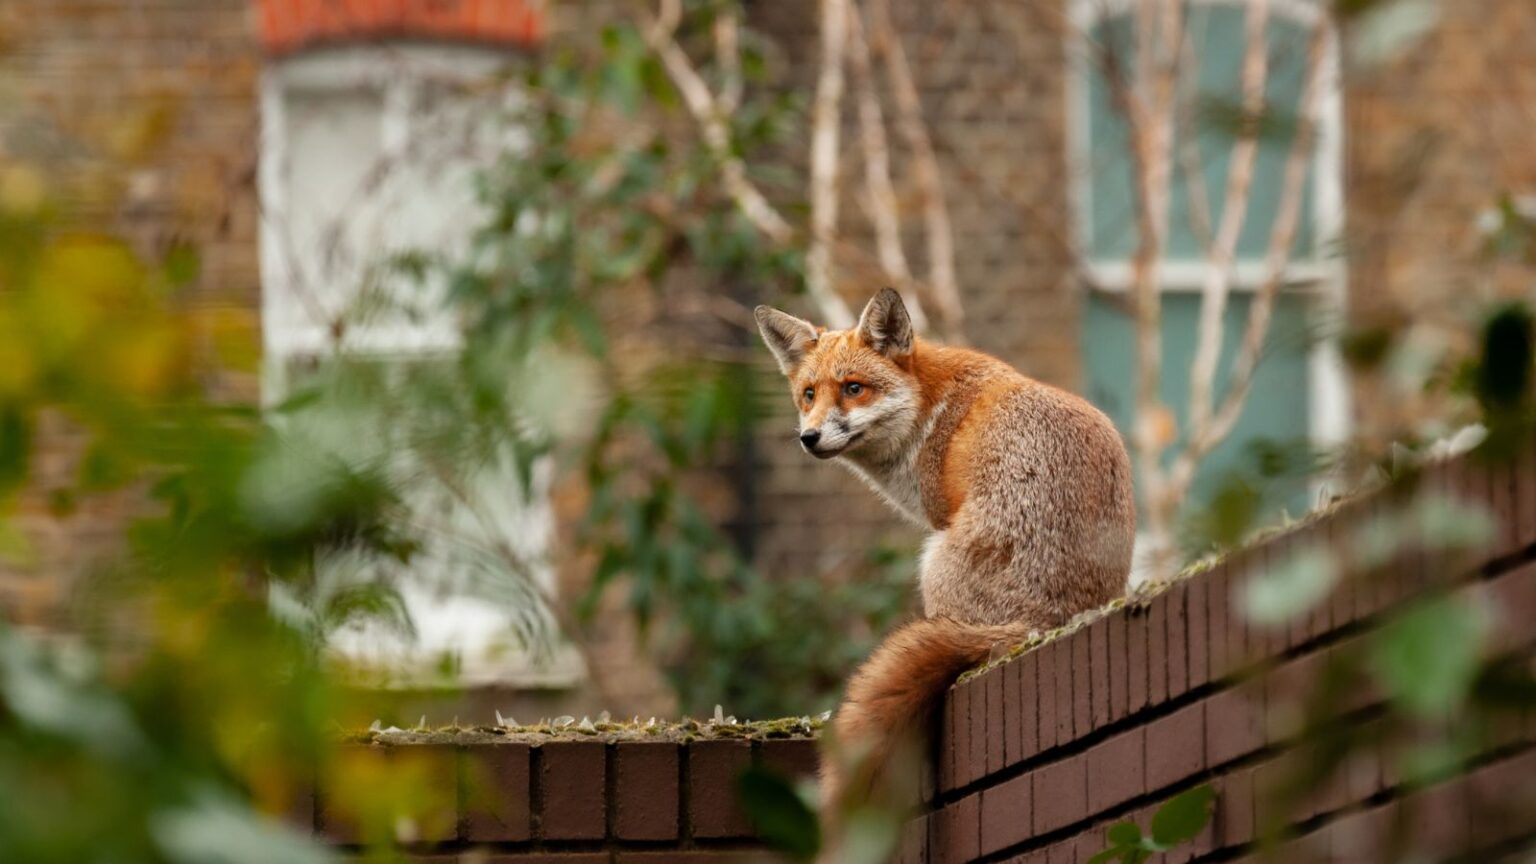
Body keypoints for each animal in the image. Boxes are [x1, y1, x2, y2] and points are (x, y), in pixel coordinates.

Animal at [755, 288, 1137, 847]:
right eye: (808, 394)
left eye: (853, 389)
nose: (809, 437)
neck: (928, 410)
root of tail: (1043, 623)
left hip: (931, 561)